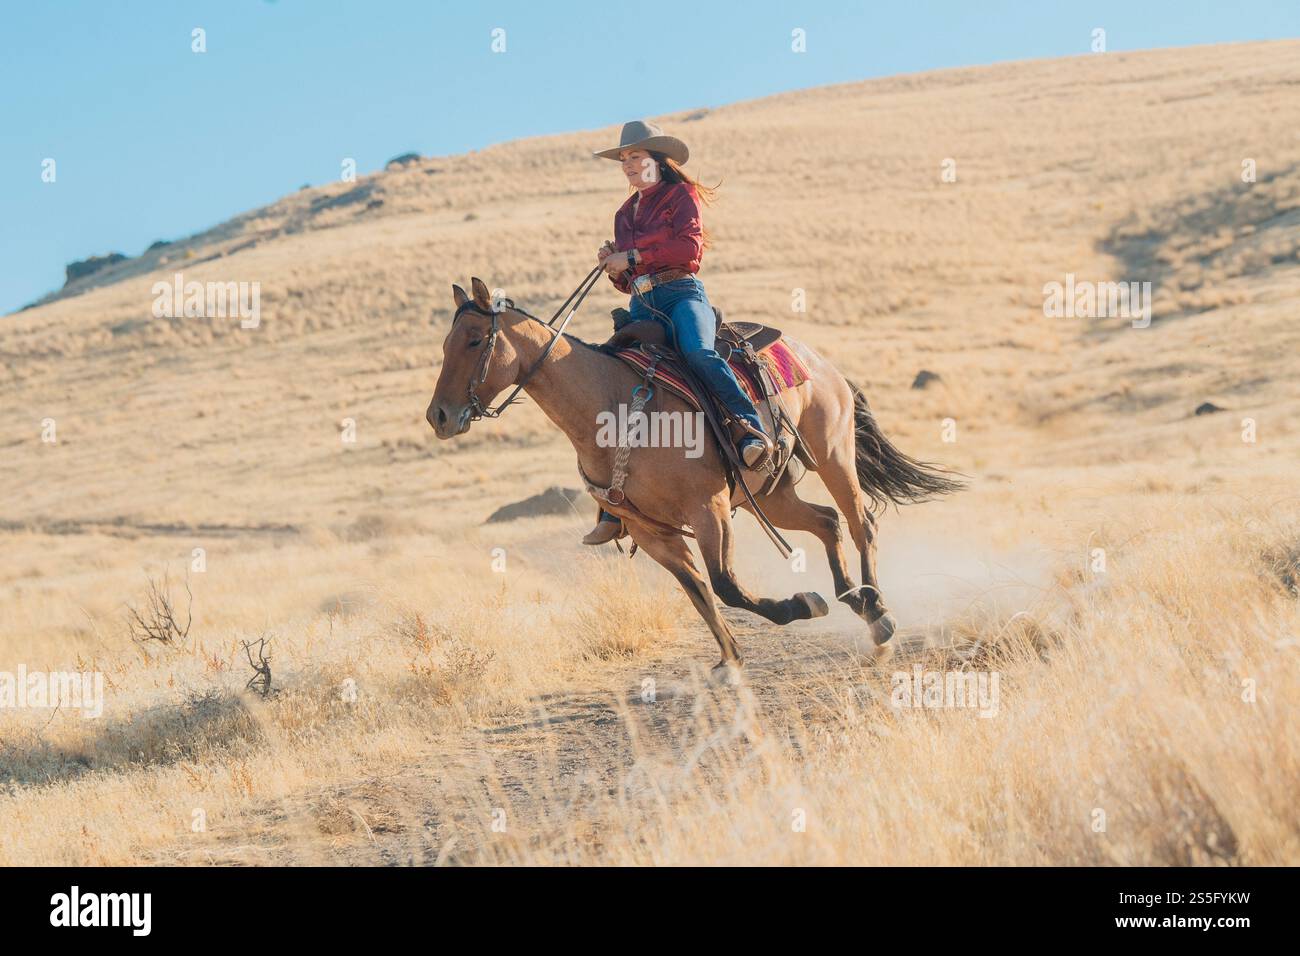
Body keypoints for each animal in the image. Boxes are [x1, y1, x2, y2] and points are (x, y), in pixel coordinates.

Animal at [427, 276, 964, 680]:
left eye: (474, 341)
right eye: (445, 343)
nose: (439, 416)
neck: (612, 408)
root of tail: (816, 358)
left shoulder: (709, 510)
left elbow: (726, 585)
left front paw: (802, 605)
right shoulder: (652, 531)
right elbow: (699, 592)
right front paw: (730, 659)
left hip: (832, 455)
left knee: (859, 523)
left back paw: (879, 613)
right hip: (772, 494)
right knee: (828, 522)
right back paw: (854, 599)